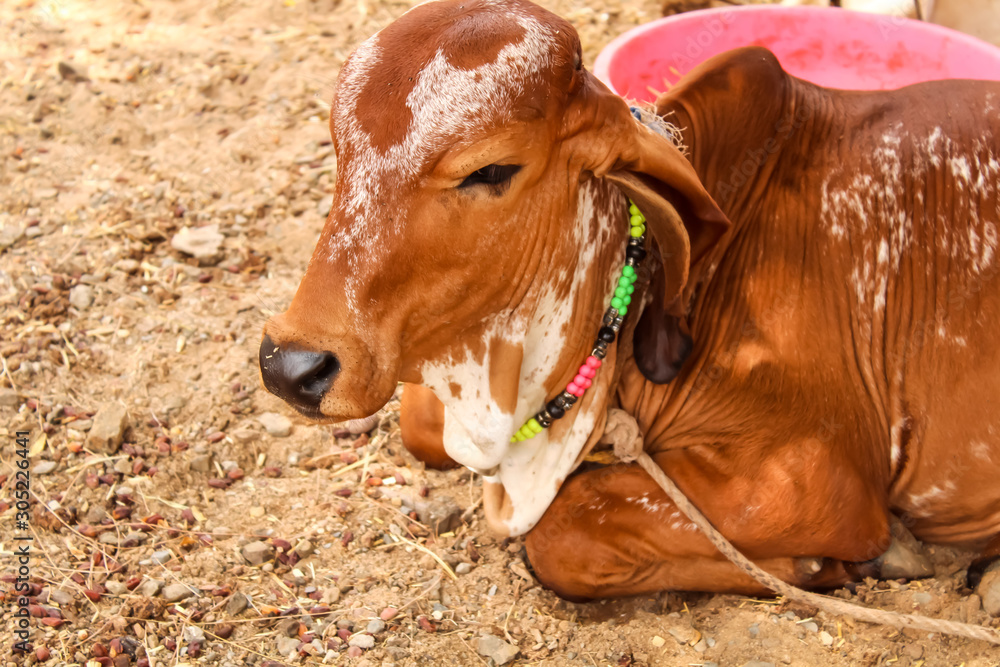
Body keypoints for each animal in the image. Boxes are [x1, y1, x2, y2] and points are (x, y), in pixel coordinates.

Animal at [259, 0, 1000, 600]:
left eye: (491, 169)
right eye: (340, 148)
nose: (291, 365)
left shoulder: (810, 483)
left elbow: (560, 534)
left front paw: (825, 566)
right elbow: (420, 427)